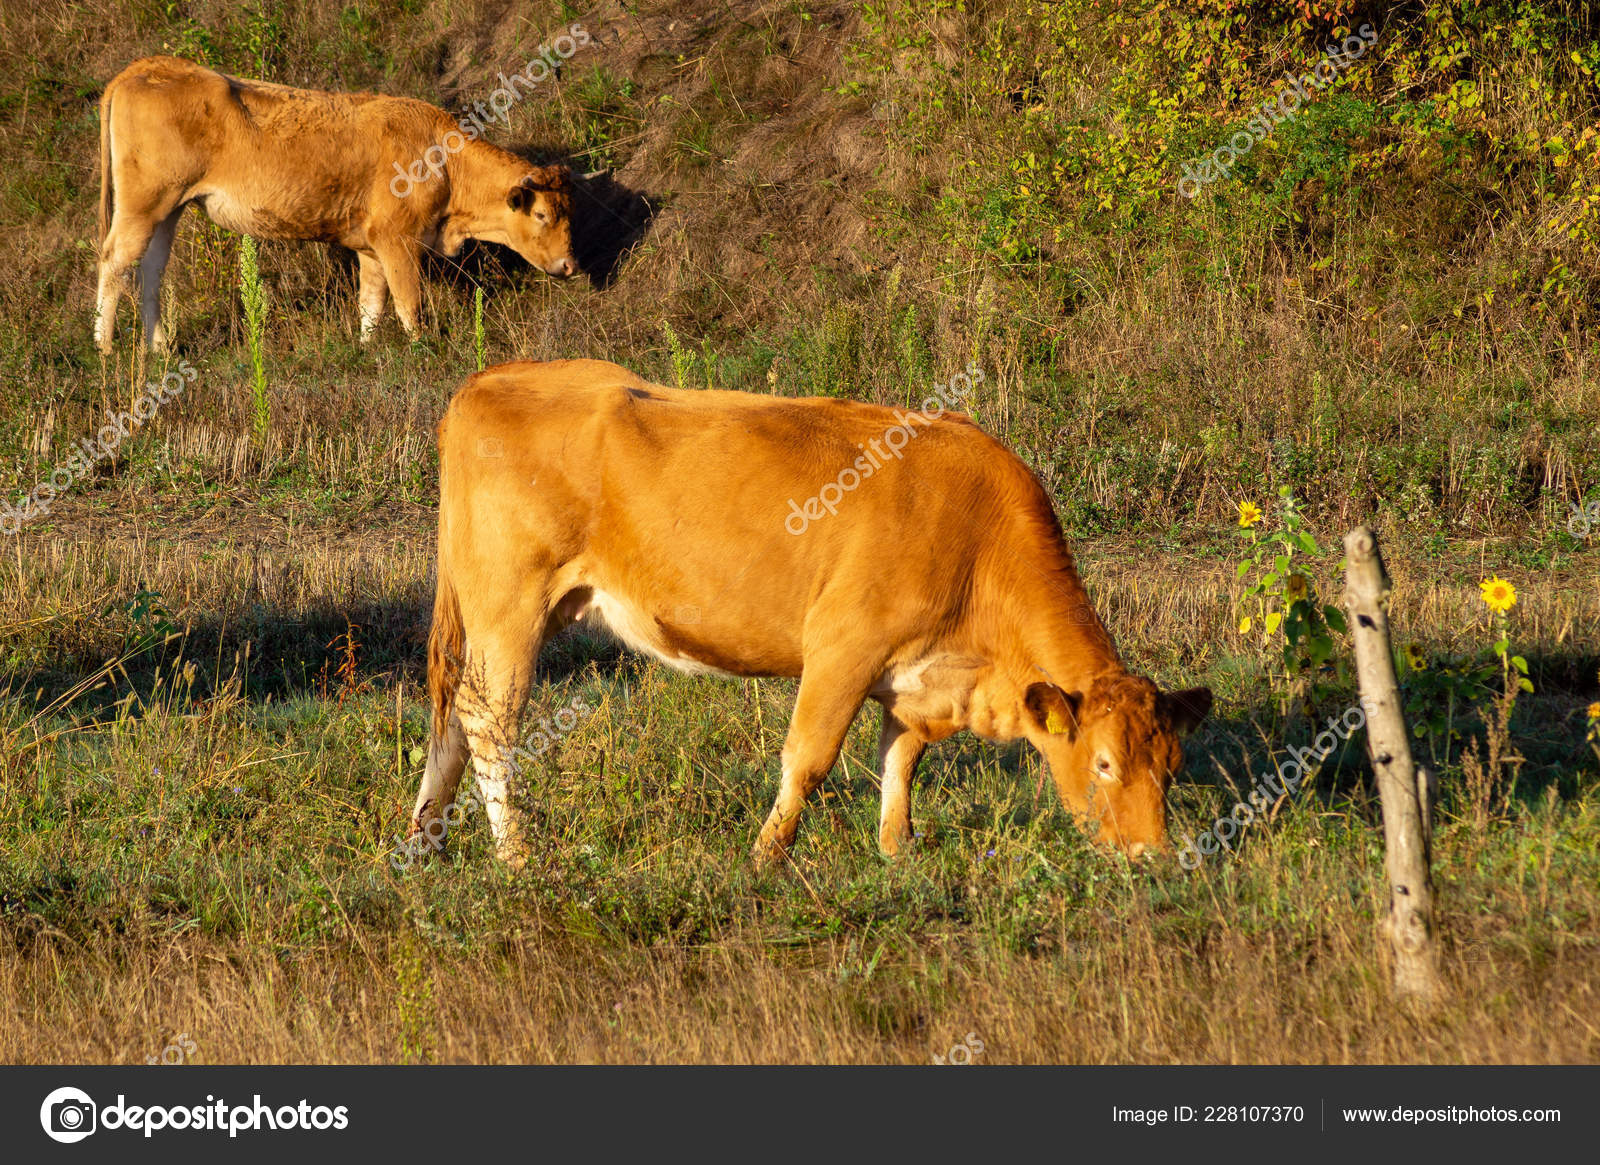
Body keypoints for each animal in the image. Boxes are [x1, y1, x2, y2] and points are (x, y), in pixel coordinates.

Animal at [94, 56, 578, 353]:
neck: (444, 159)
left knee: (150, 269)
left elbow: (371, 305)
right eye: (541, 214)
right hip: (144, 204)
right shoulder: (398, 242)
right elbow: (409, 305)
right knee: (115, 260)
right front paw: (422, 350)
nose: (570, 265)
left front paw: (366, 349)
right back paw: (104, 348)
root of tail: (151, 66)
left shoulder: (372, 247)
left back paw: (159, 347)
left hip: (168, 210)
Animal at [408, 358, 1212, 870]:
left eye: (1172, 767)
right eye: (1104, 763)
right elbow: (810, 759)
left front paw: (897, 852)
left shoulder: (914, 678)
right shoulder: (843, 646)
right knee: (487, 723)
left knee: (451, 719)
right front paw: (766, 857)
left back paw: (425, 843)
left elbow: (901, 759)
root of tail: (491, 377)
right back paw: (515, 855)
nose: (1154, 858)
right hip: (510, 607)